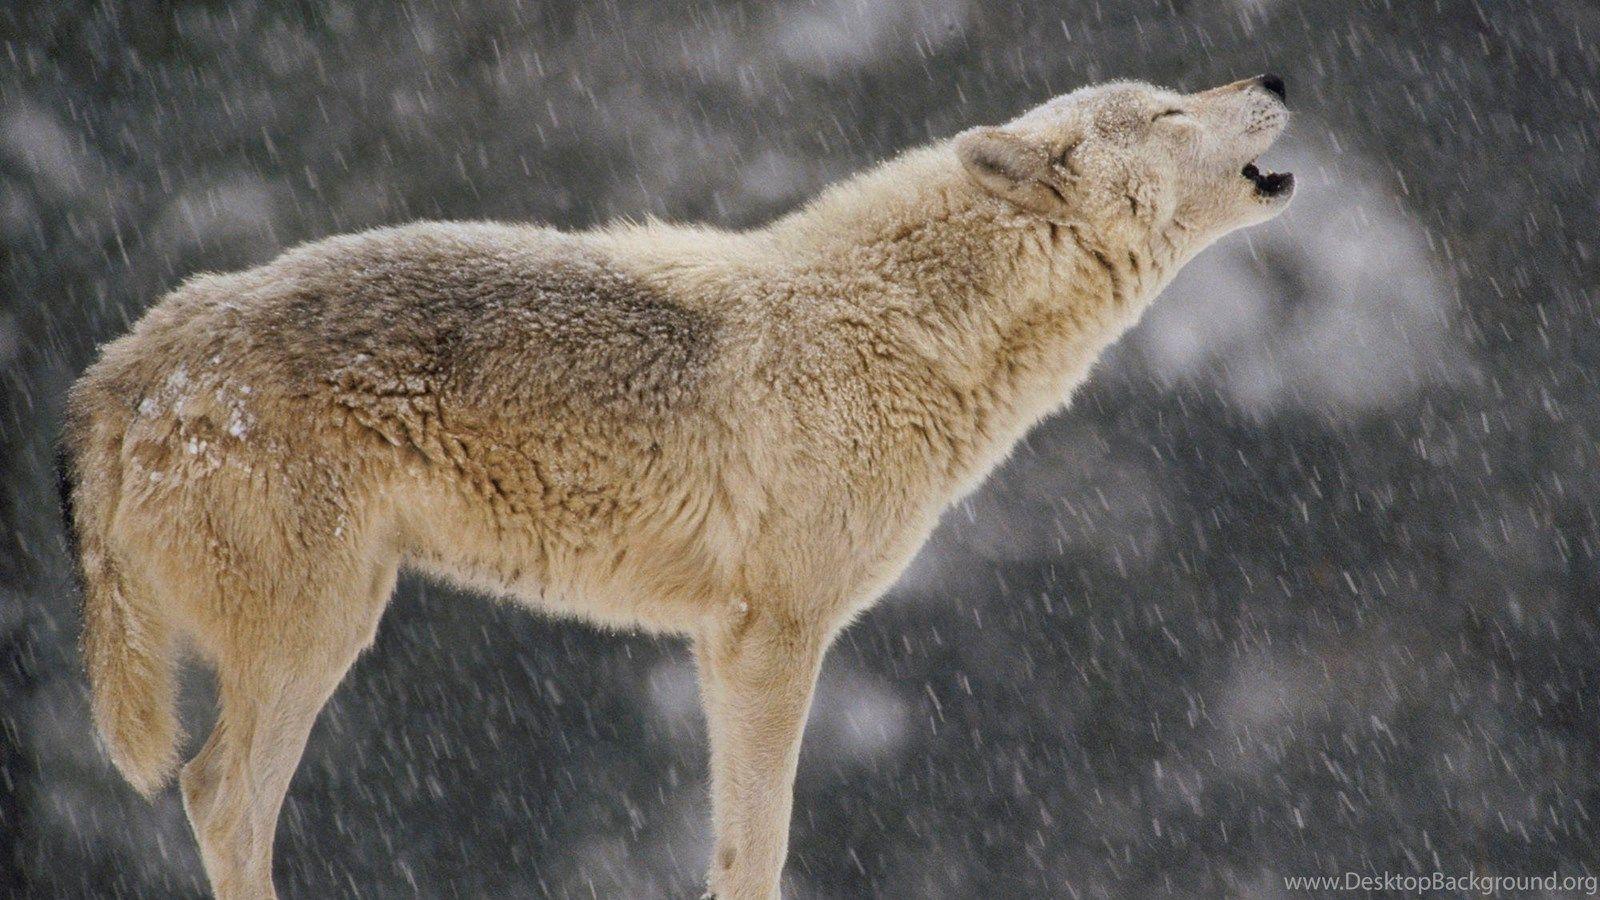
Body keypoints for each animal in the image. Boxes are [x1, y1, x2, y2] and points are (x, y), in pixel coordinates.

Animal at [61, 75, 1294, 898]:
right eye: (1170, 112)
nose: (1274, 79)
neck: (896, 329)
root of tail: (131, 359)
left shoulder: (720, 643)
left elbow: (732, 848)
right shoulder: (776, 635)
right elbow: (764, 847)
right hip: (317, 635)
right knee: (220, 799)